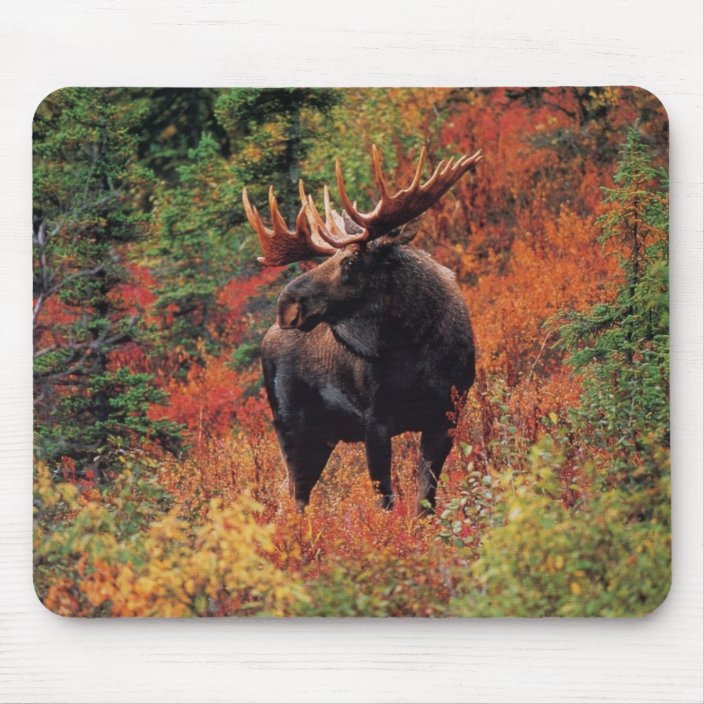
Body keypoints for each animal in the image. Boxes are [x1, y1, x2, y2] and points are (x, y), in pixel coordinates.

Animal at [242, 144, 482, 516]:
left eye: (350, 262)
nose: (287, 305)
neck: (419, 350)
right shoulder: (376, 421)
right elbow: (385, 500)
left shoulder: (447, 414)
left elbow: (425, 498)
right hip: (291, 426)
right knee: (295, 496)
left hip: (322, 436)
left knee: (287, 492)